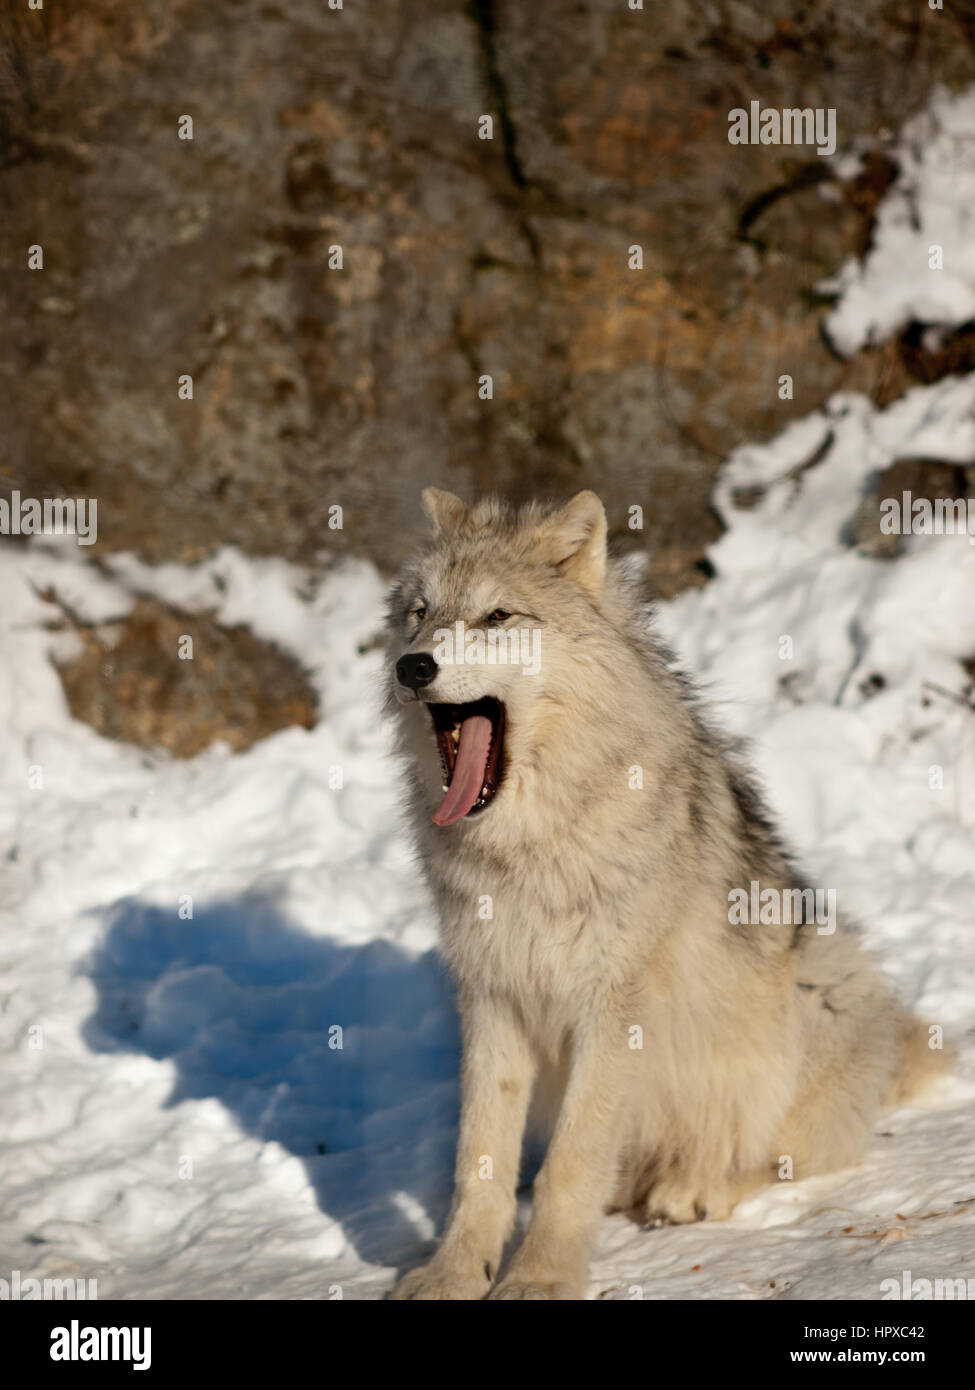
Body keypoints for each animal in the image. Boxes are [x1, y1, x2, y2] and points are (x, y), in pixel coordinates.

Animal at [386, 487, 945, 1301]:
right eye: (419, 614)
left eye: (496, 617)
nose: (412, 666)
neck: (529, 848)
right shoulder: (492, 997)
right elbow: (479, 1164)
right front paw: (453, 1273)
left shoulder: (611, 1005)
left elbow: (570, 1165)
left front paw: (540, 1278)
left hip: (820, 984)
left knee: (791, 1159)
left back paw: (695, 1186)